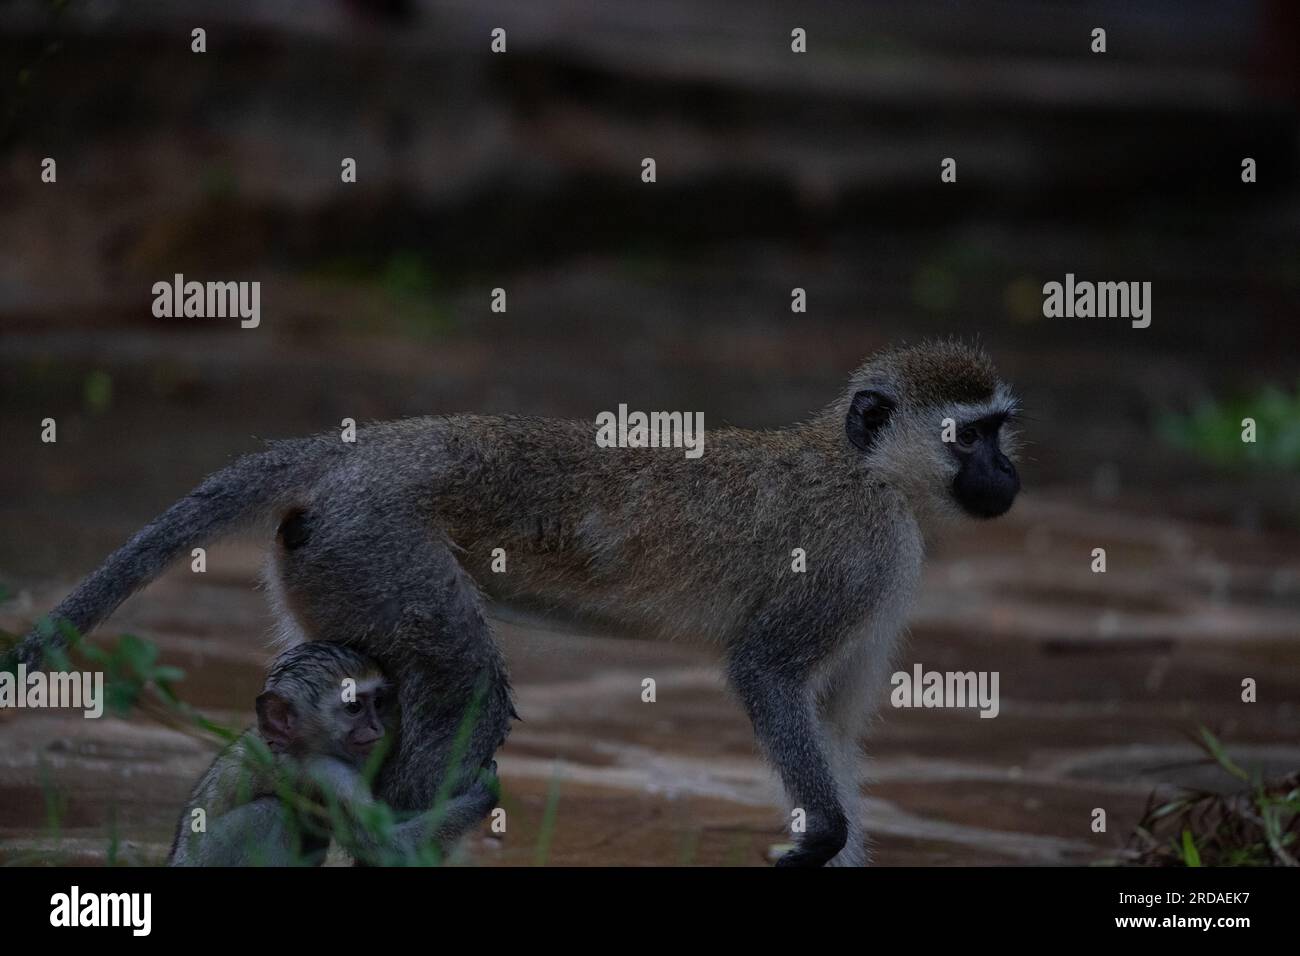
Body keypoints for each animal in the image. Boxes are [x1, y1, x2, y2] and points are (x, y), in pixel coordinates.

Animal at [169, 641, 499, 866]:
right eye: (354, 707)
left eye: (377, 703)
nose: (376, 727)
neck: (299, 745)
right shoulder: (330, 774)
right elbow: (382, 847)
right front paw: (482, 795)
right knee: (270, 812)